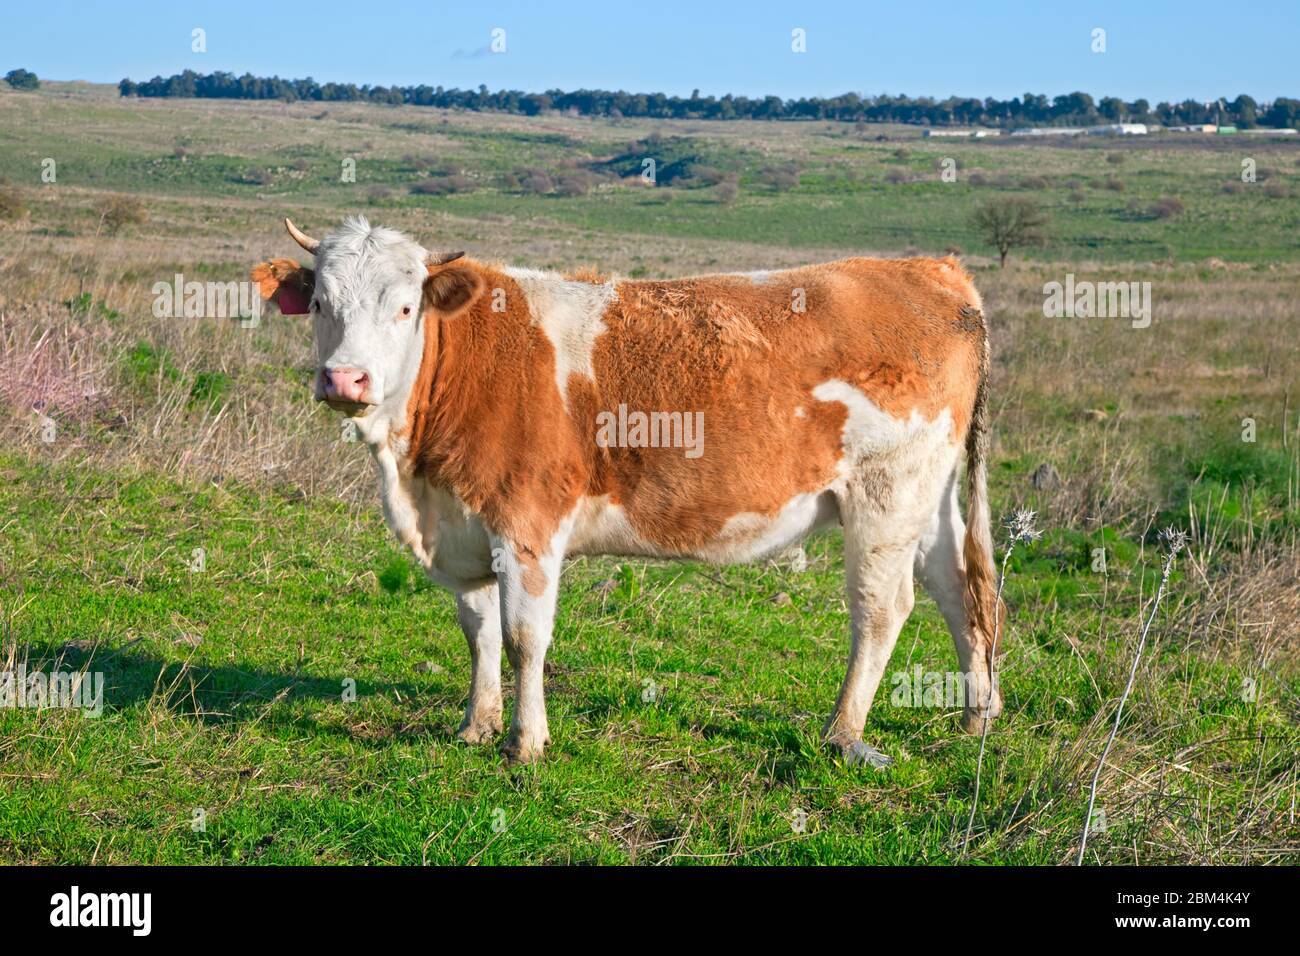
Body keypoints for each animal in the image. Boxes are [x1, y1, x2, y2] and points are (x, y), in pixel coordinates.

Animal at [252, 217, 1002, 766]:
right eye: (319, 303)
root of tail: (933, 270)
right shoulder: (466, 524)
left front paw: (525, 743)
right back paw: (976, 714)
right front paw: (476, 725)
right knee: (959, 585)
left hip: (886, 490)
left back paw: (843, 734)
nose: (344, 379)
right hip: (928, 495)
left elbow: (524, 637)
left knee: (882, 609)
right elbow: (478, 631)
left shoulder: (529, 523)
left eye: (406, 307)